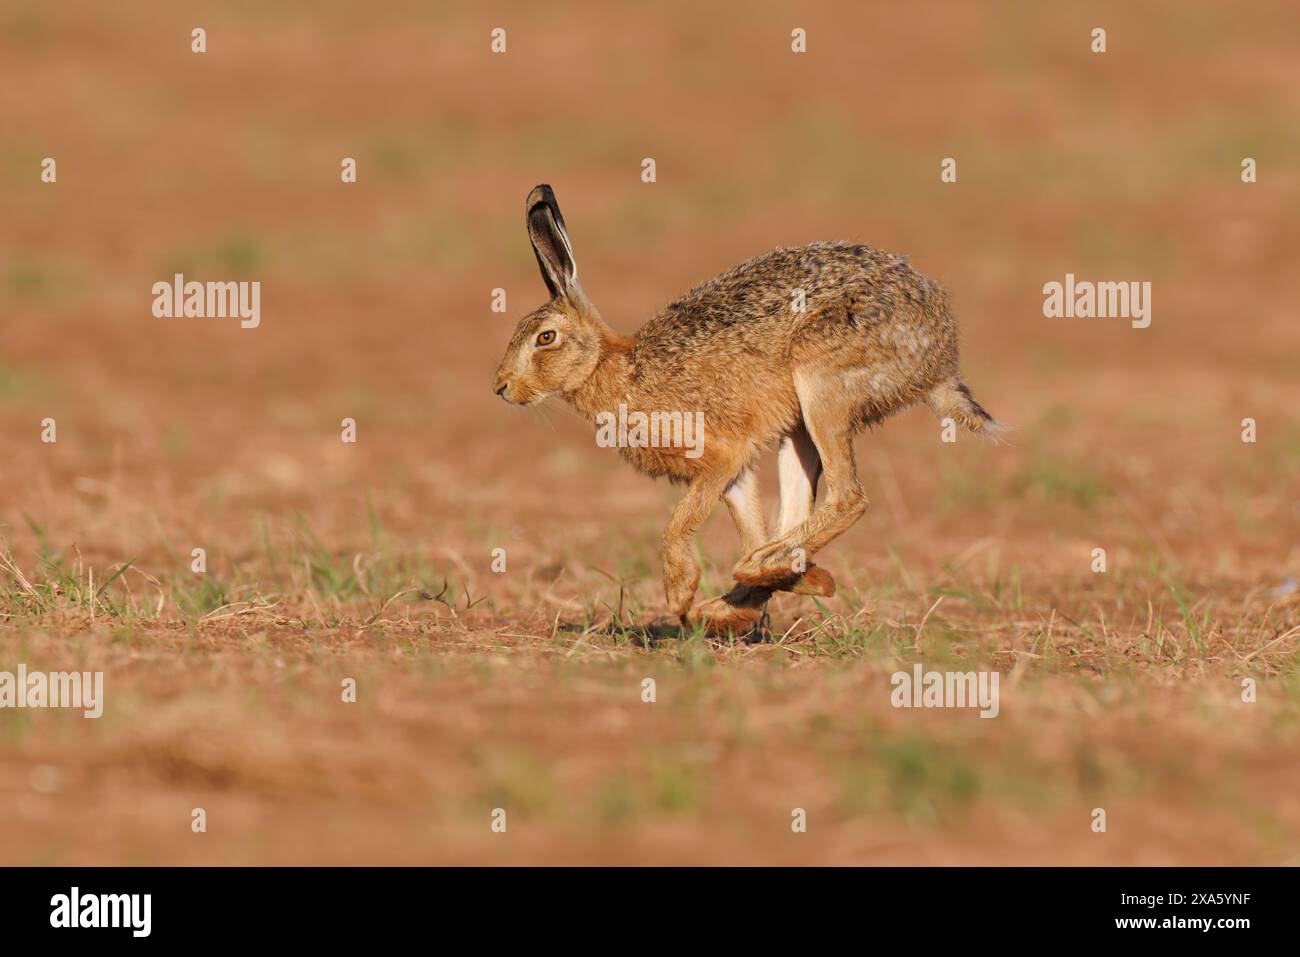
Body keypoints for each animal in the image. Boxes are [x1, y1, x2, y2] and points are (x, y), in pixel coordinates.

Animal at [494, 184, 1001, 633]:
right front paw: (759, 598)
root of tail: (939, 357)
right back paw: (756, 580)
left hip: (822, 382)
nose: (501, 388)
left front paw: (681, 592)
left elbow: (678, 524)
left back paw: (756, 570)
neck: (615, 367)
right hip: (800, 427)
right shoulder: (731, 470)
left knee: (848, 498)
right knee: (795, 512)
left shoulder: (719, 453)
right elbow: (747, 519)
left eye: (545, 338)